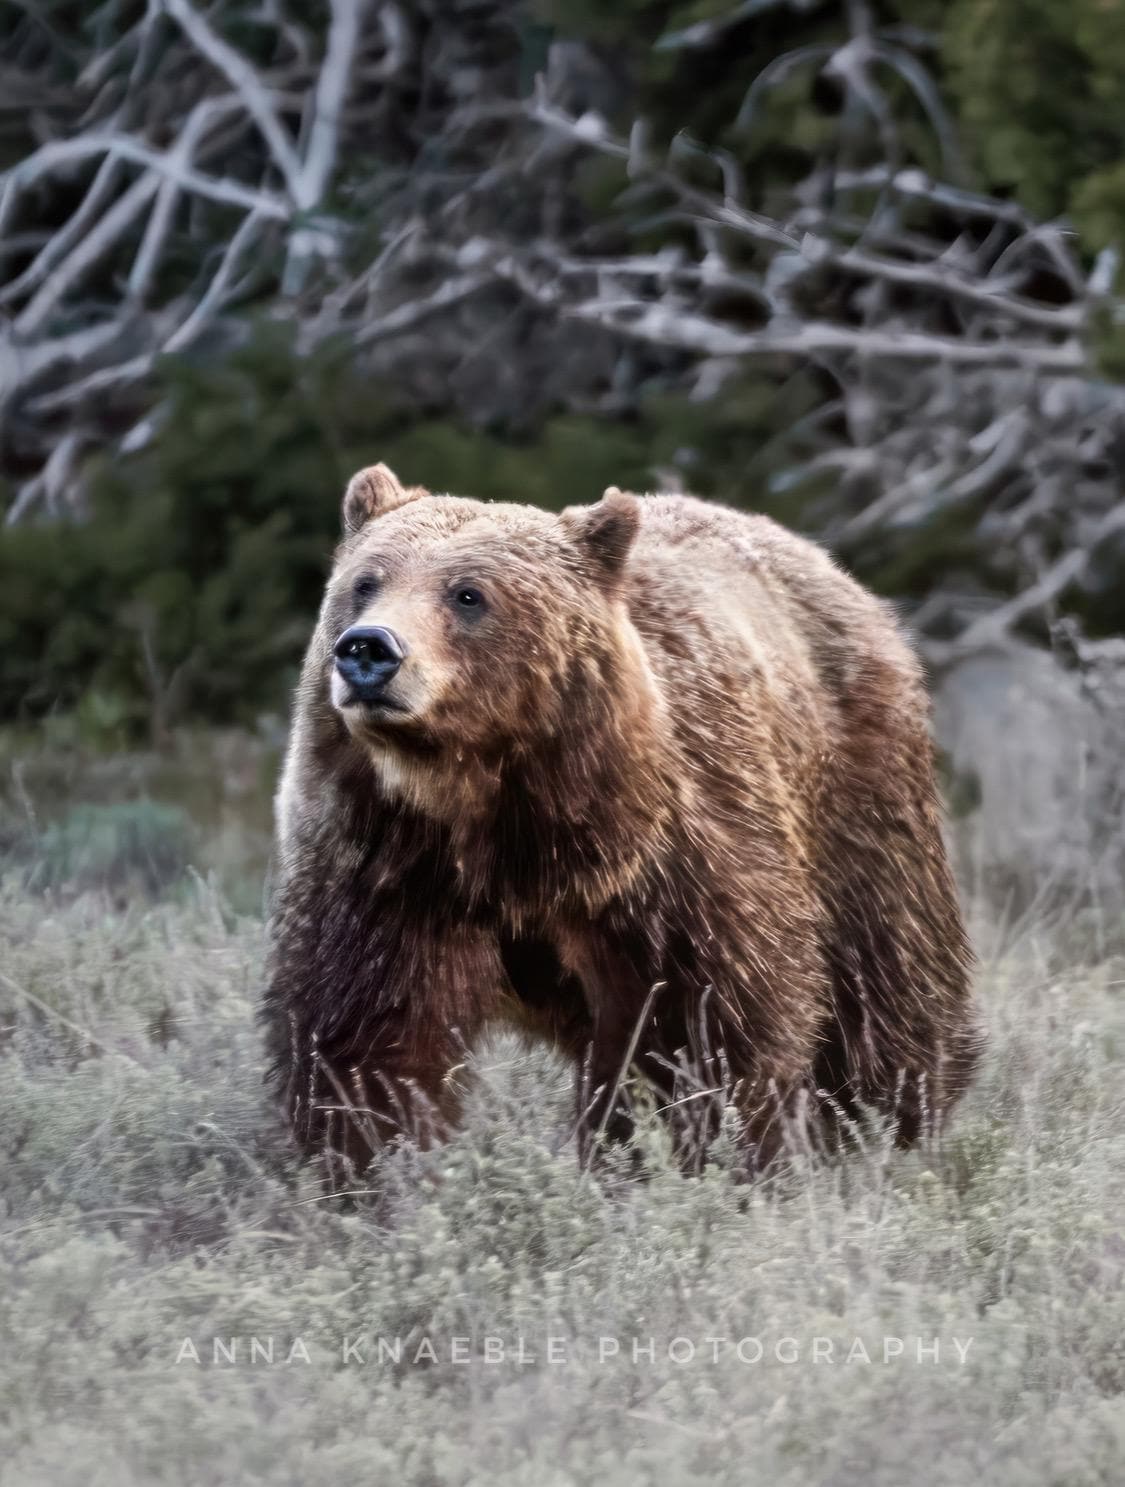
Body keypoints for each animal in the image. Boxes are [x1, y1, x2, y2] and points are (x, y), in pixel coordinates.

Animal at [264, 462, 979, 1183]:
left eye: (468, 594)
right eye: (365, 581)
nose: (369, 650)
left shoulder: (673, 863)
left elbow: (695, 1026)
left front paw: (696, 1155)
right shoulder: (387, 864)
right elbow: (370, 1030)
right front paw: (369, 1164)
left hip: (857, 793)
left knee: (885, 972)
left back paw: (894, 1116)